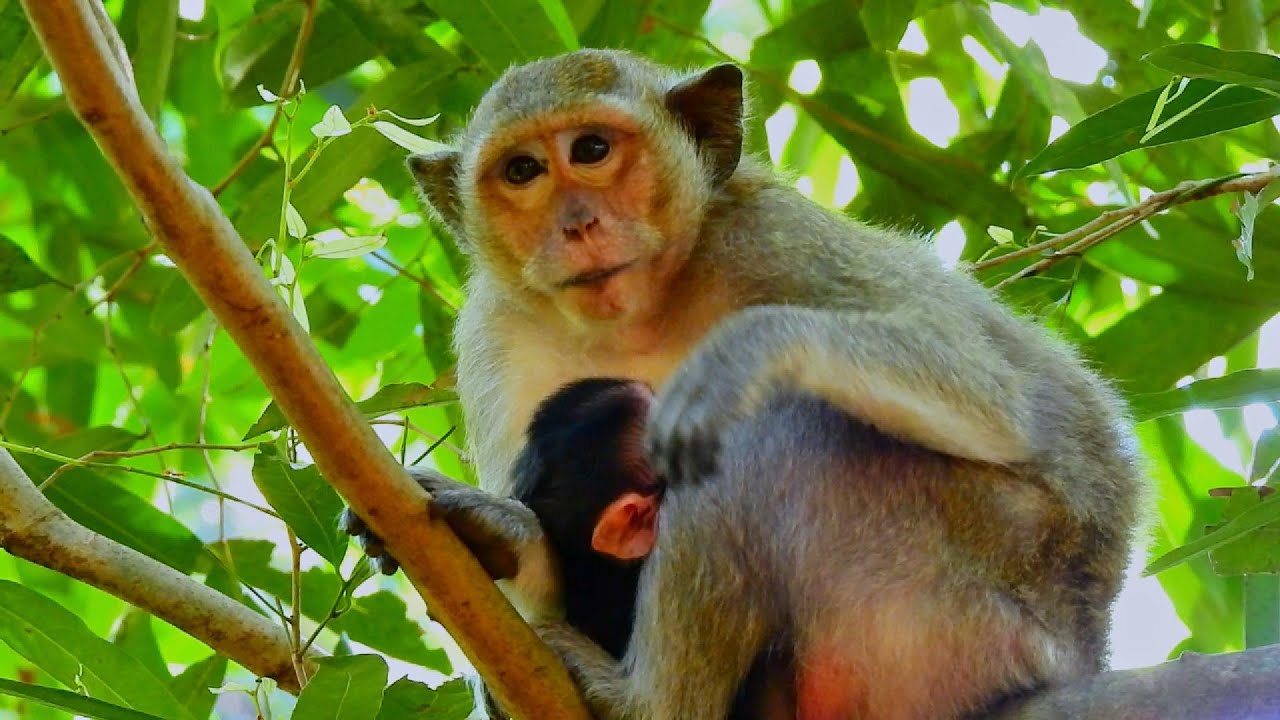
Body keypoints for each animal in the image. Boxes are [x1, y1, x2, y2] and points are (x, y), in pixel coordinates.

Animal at [377, 48, 1144, 718]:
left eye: (591, 150)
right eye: (523, 170)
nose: (576, 224)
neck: (645, 316)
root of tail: (1083, 647)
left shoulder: (772, 234)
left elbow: (1000, 401)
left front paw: (743, 352)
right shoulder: (497, 335)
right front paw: (514, 536)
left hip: (957, 596)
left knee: (771, 429)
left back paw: (649, 702)